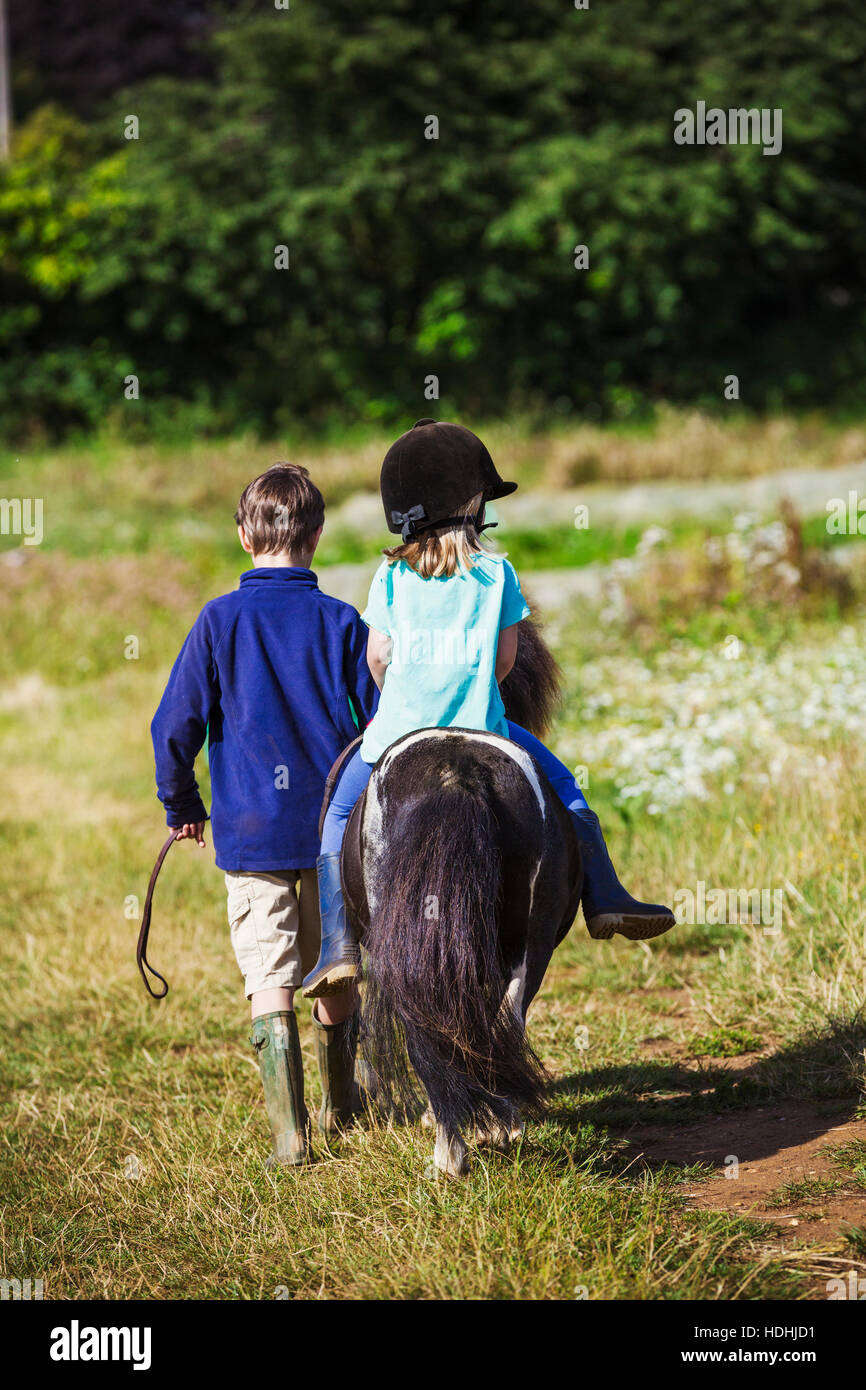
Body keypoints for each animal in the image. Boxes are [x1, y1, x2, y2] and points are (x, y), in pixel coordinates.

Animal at [340, 612, 583, 1176]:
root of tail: (459, 770)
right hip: (529, 942)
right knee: (503, 1021)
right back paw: (499, 1125)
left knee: (431, 1031)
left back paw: (450, 1153)